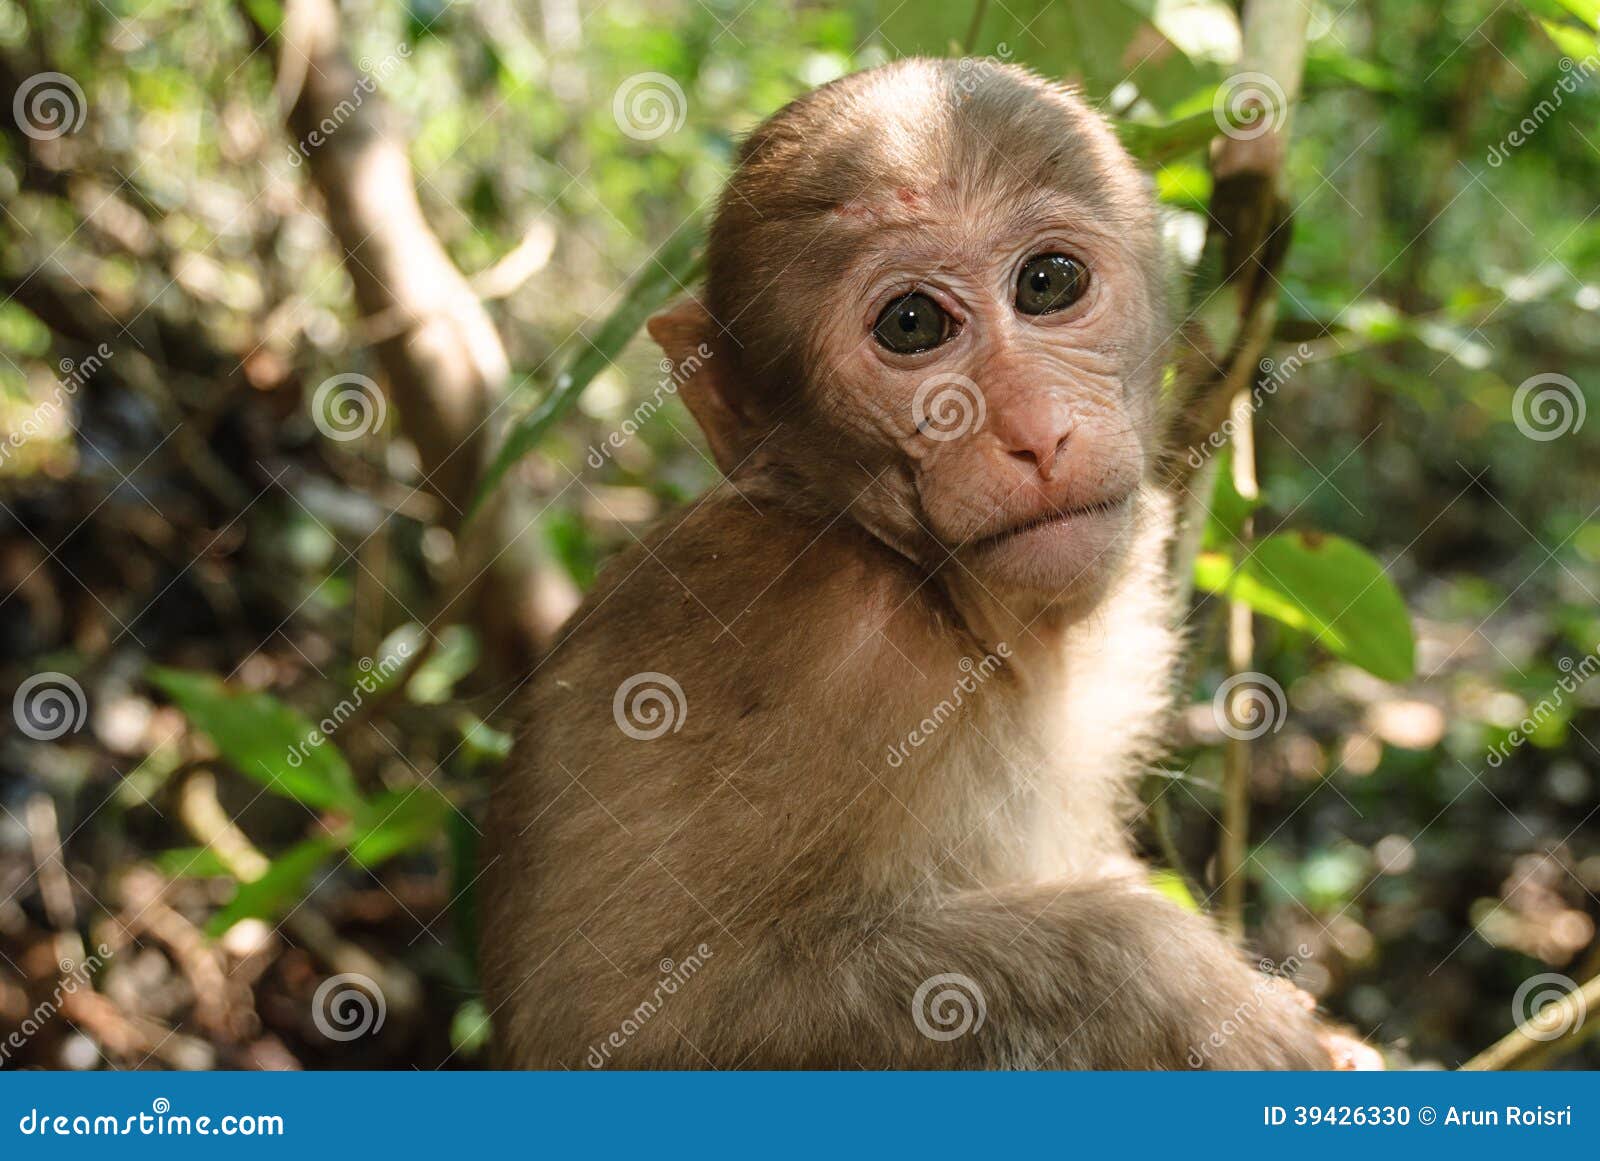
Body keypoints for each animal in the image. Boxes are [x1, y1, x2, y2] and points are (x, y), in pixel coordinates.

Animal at [481, 57, 1337, 1069]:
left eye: (1048, 282)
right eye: (914, 324)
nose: (1037, 433)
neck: (948, 606)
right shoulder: (805, 643)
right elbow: (617, 1024)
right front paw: (1173, 981)